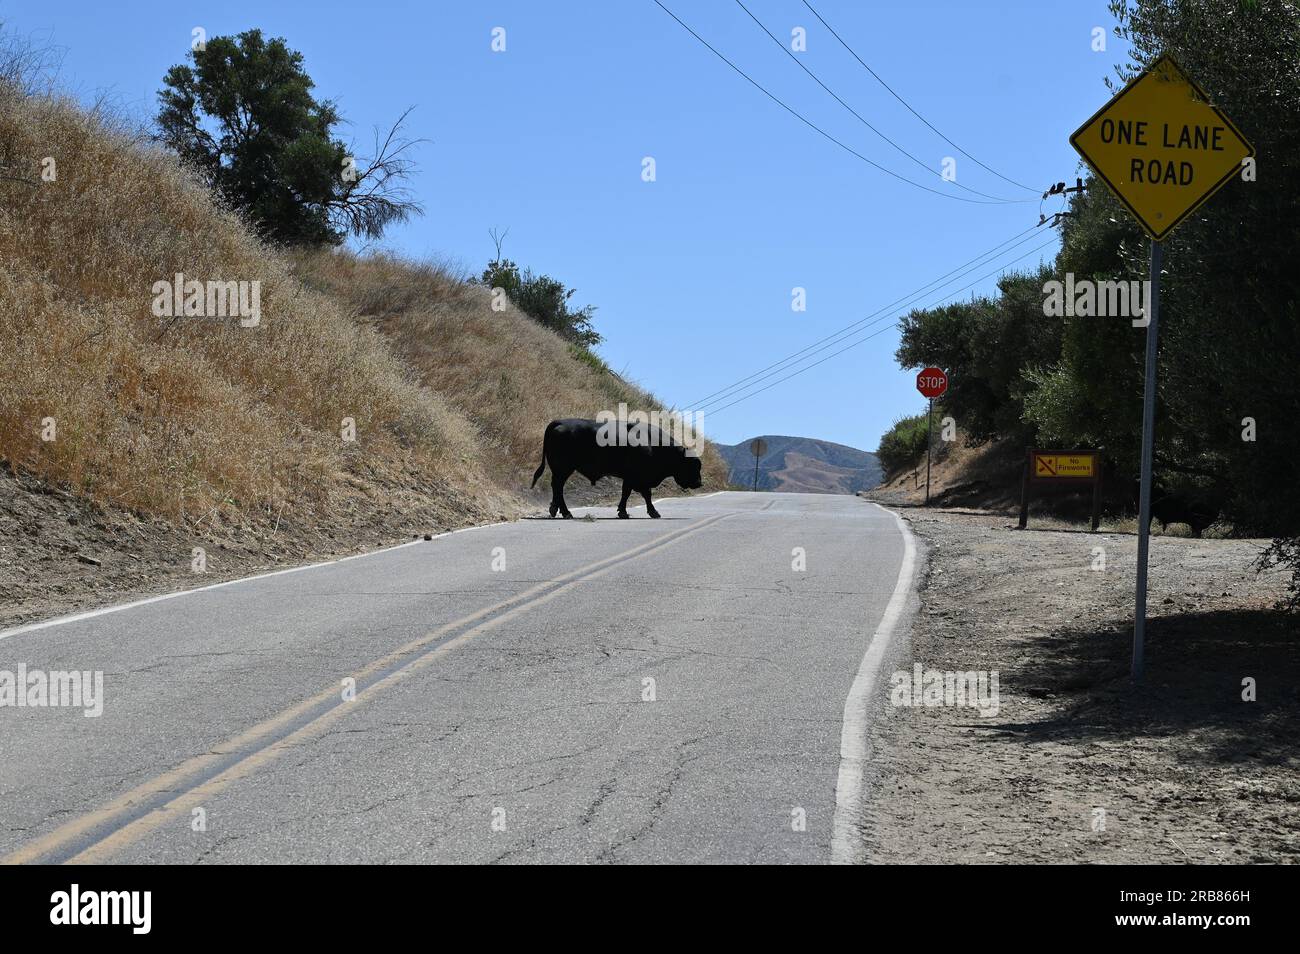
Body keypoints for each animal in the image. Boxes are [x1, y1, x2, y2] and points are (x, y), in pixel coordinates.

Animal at [531, 418, 703, 519]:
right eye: (693, 465)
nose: (699, 483)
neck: (653, 443)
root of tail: (559, 422)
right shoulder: (637, 478)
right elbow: (644, 494)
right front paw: (652, 512)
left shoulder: (631, 479)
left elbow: (628, 493)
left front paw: (623, 511)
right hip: (564, 470)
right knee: (558, 487)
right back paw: (566, 513)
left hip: (561, 471)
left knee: (556, 488)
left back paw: (555, 510)